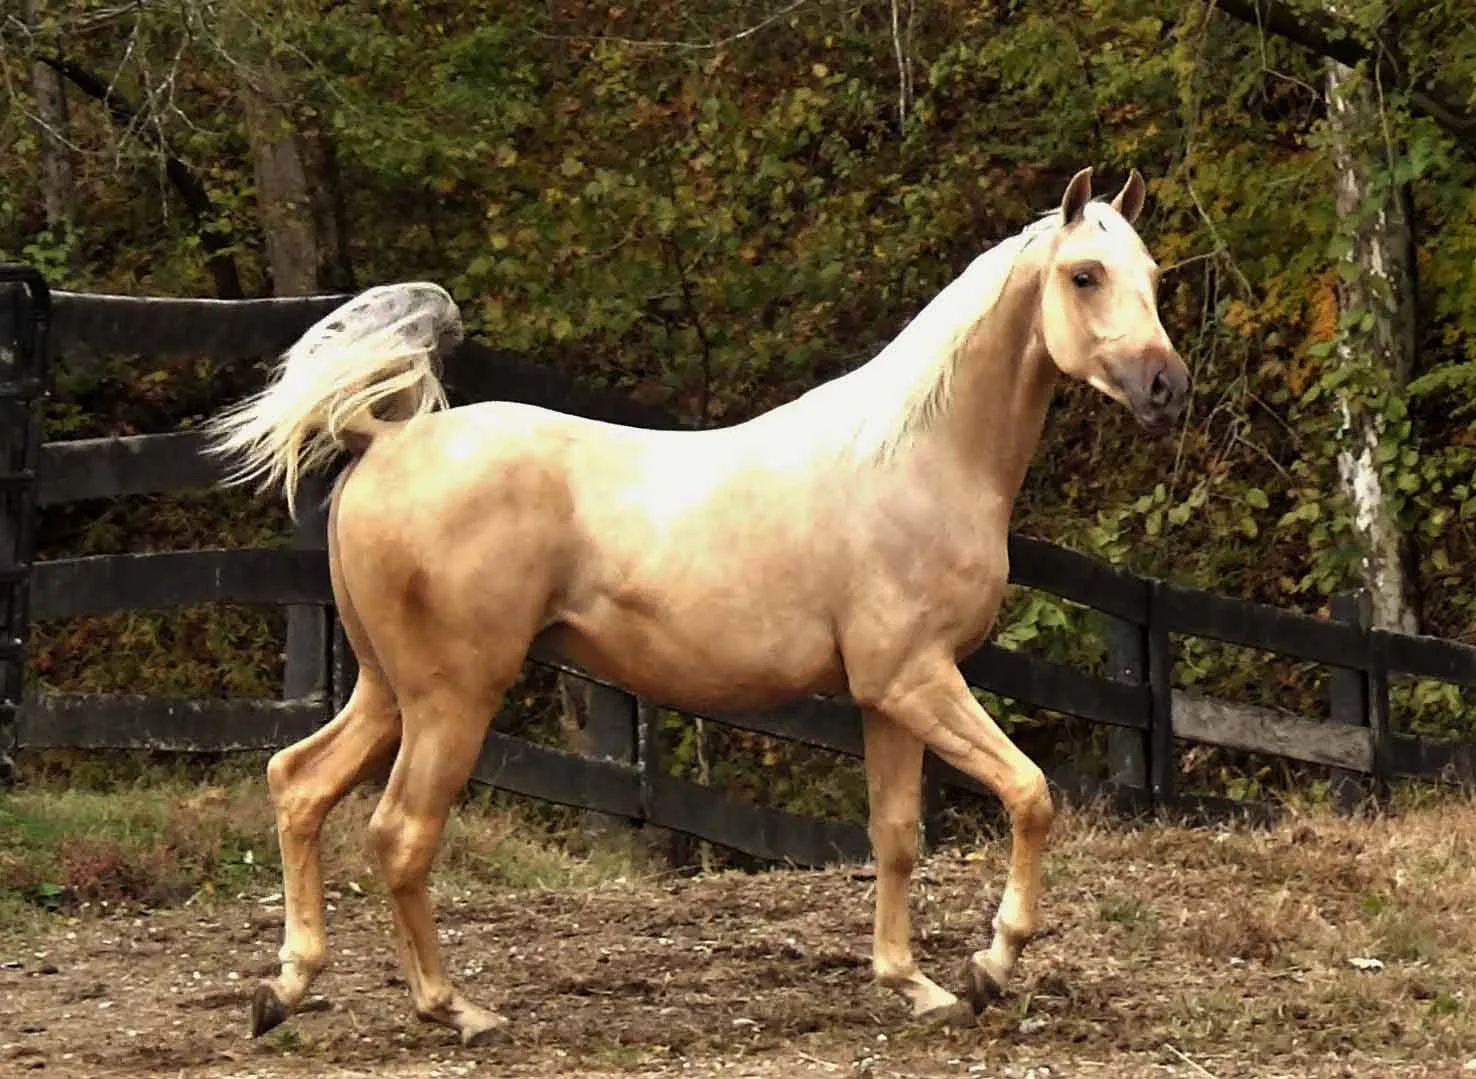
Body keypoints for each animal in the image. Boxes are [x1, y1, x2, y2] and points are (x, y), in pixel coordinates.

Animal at [208, 165, 1188, 1045]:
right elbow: (1030, 793)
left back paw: (284, 990)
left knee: (299, 783)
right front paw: (988, 965)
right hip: (451, 698)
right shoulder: (917, 680)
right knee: (400, 833)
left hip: (386, 690)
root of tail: (385, 438)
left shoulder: (887, 697)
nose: (1166, 388)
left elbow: (896, 835)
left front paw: (916, 986)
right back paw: (457, 1010)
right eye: (1084, 274)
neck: (916, 459)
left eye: (1151, 277)